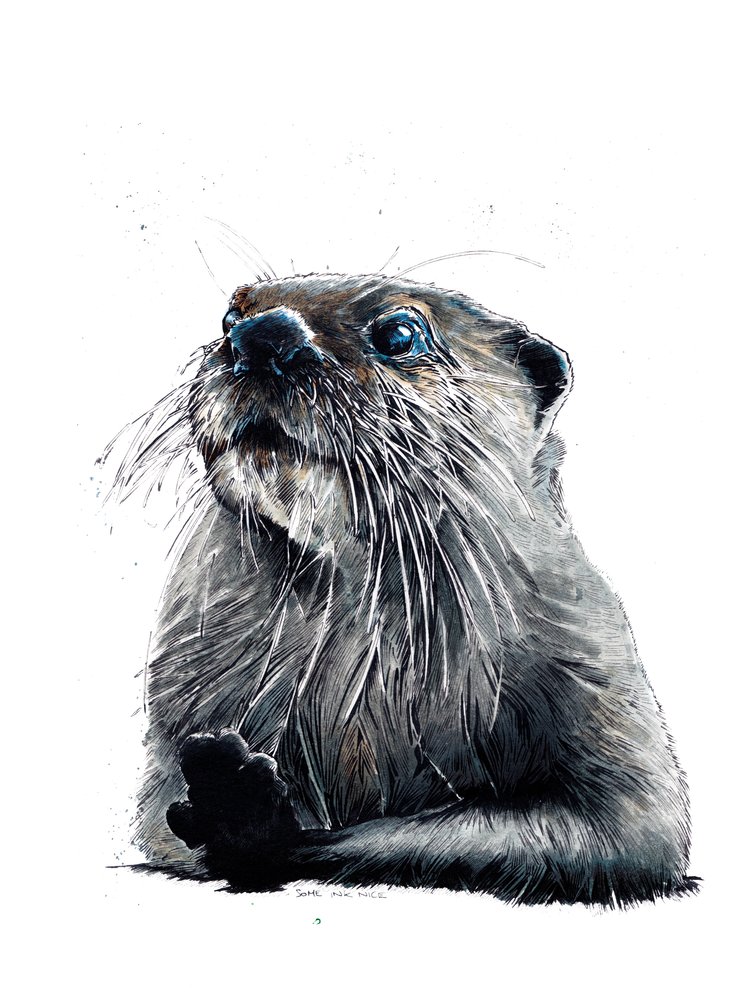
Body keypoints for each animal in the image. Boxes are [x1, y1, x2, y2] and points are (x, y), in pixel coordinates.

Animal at [118, 272, 694, 904]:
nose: (260, 335)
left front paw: (249, 818)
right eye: (229, 317)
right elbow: (161, 825)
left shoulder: (602, 676)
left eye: (399, 333)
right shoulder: (177, 707)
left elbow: (625, 829)